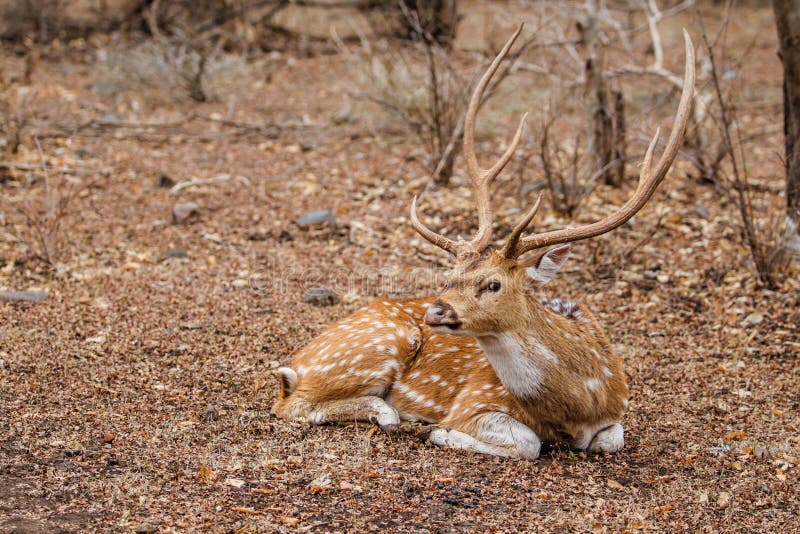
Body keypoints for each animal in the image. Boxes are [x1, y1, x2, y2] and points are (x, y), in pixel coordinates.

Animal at [272, 24, 695, 459]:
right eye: (449, 276)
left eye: (494, 284)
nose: (436, 311)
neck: (580, 404)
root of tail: (297, 364)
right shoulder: (474, 399)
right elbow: (528, 443)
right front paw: (437, 431)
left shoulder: (615, 414)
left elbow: (611, 440)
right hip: (376, 347)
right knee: (293, 403)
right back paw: (389, 414)